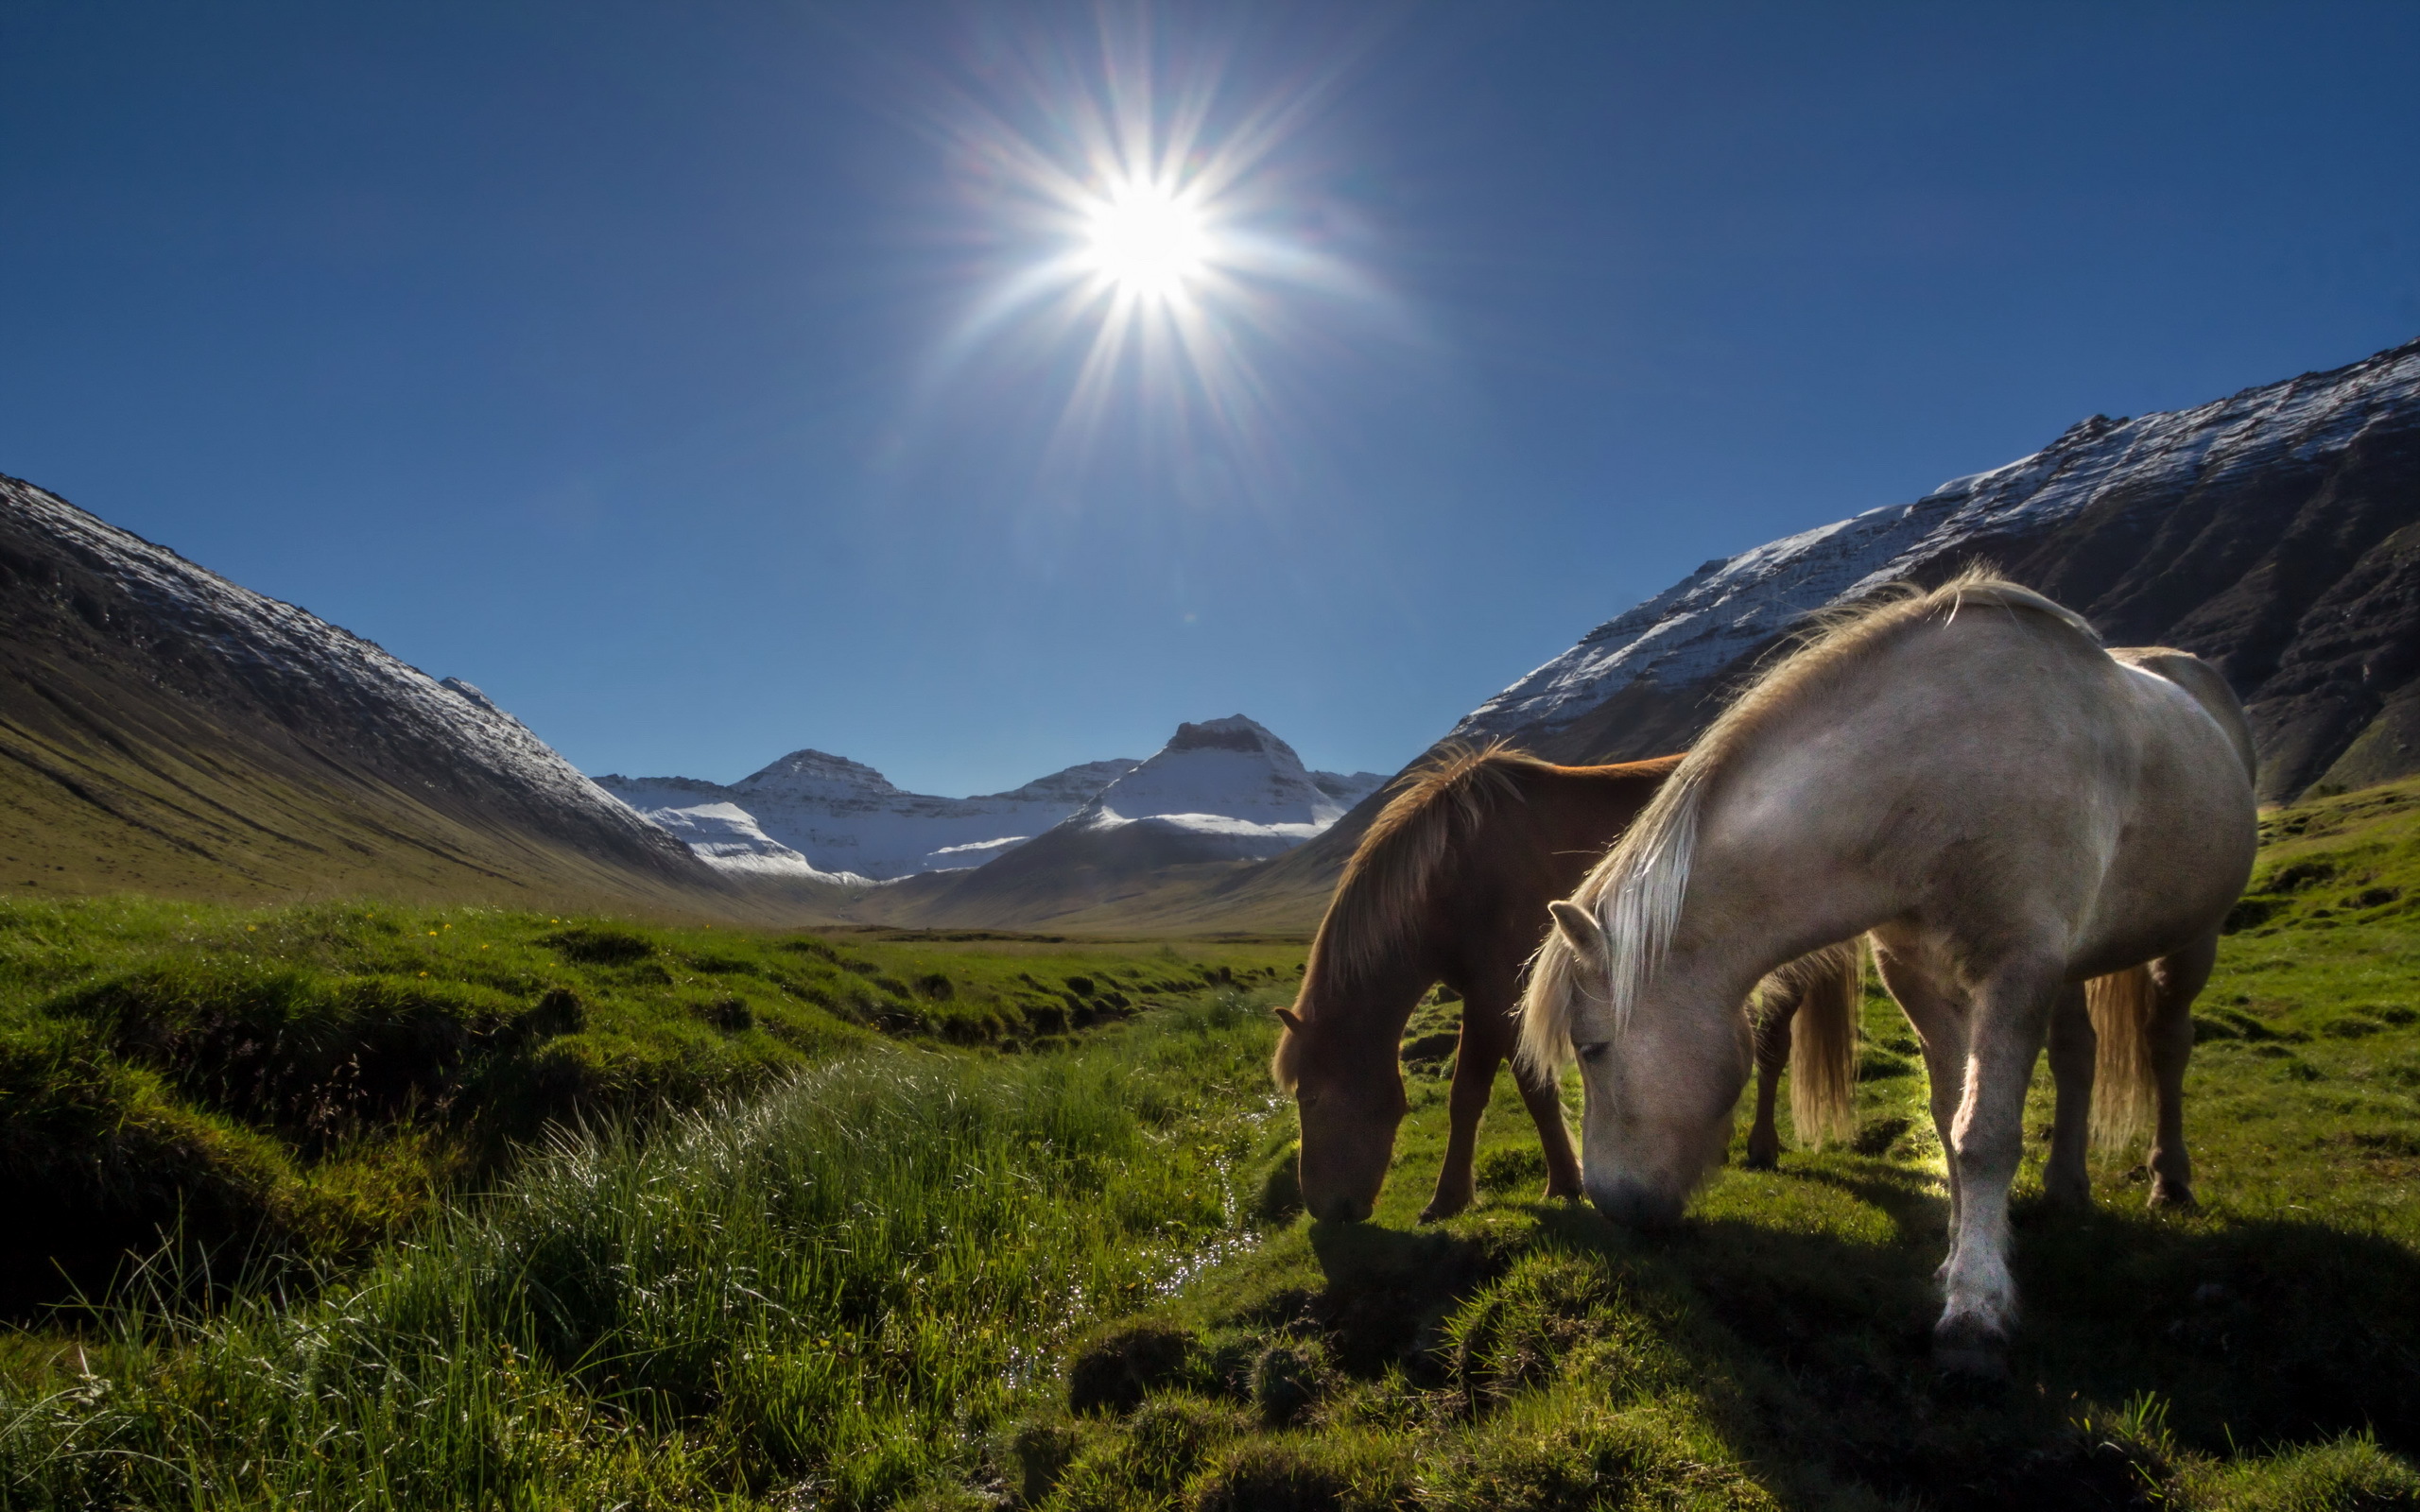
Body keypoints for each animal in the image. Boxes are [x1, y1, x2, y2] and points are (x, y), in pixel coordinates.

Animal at [1270, 743, 1863, 1226]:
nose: (1322, 1209)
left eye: (1313, 1098)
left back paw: (1762, 1145)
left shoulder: (1494, 997)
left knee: (1773, 1048)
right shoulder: (1495, 999)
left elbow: (1478, 1095)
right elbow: (1526, 1089)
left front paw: (1459, 1197)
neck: (1455, 872)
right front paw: (1554, 1181)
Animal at [1519, 573, 2257, 1375]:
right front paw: (1957, 1260)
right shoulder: (1916, 974)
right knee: (2078, 1057)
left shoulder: (2018, 964)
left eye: (1592, 1049)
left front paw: (1975, 1311)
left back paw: (2169, 1180)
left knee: (2167, 1046)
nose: (1610, 1203)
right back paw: (2067, 1187)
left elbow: (1983, 1134)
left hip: (2191, 941)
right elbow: (1947, 1118)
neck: (1930, 777)